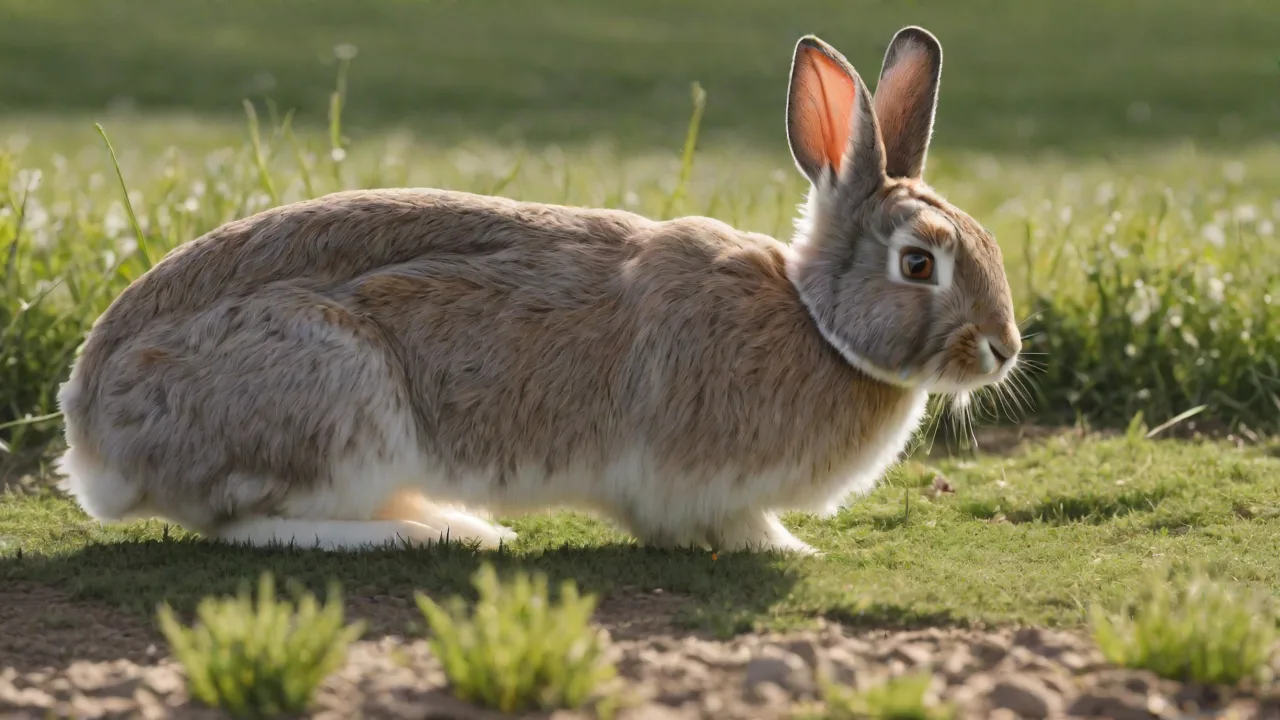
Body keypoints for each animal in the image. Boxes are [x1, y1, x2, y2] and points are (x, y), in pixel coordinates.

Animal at [56, 26, 1021, 555]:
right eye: (919, 263)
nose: (1004, 350)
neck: (817, 322)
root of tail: (92, 433)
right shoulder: (689, 482)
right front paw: (791, 548)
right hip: (335, 402)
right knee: (247, 523)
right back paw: (441, 531)